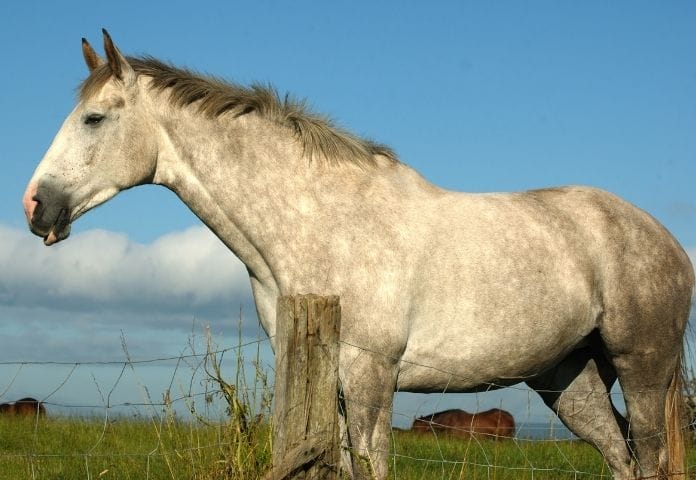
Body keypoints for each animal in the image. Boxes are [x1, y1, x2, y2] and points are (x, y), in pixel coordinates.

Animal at [22, 30, 693, 479]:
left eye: (93, 118)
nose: (36, 206)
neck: (322, 221)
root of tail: (667, 240)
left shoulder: (371, 376)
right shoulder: (332, 382)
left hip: (642, 369)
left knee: (649, 457)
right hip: (570, 381)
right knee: (623, 460)